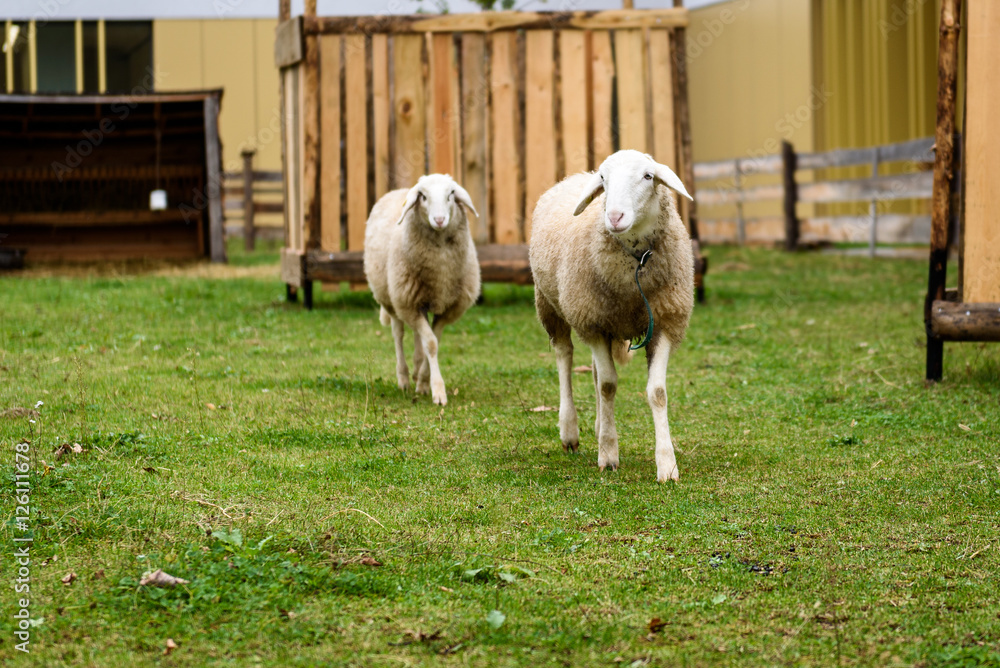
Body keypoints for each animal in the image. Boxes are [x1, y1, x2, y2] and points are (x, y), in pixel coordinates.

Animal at [363, 174, 481, 406]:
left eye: (451, 194)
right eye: (423, 197)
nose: (439, 220)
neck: (441, 273)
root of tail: (399, 190)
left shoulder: (446, 309)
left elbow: (433, 341)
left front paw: (425, 382)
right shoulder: (409, 303)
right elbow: (431, 343)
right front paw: (438, 391)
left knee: (418, 335)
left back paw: (417, 373)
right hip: (393, 301)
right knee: (398, 334)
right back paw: (404, 379)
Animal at [528, 150, 695, 482]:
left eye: (648, 176)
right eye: (604, 179)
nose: (614, 217)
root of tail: (578, 175)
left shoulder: (665, 322)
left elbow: (657, 392)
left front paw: (667, 464)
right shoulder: (591, 322)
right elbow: (608, 386)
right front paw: (608, 454)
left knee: (594, 372)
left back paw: (597, 425)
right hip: (551, 304)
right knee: (565, 356)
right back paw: (570, 430)